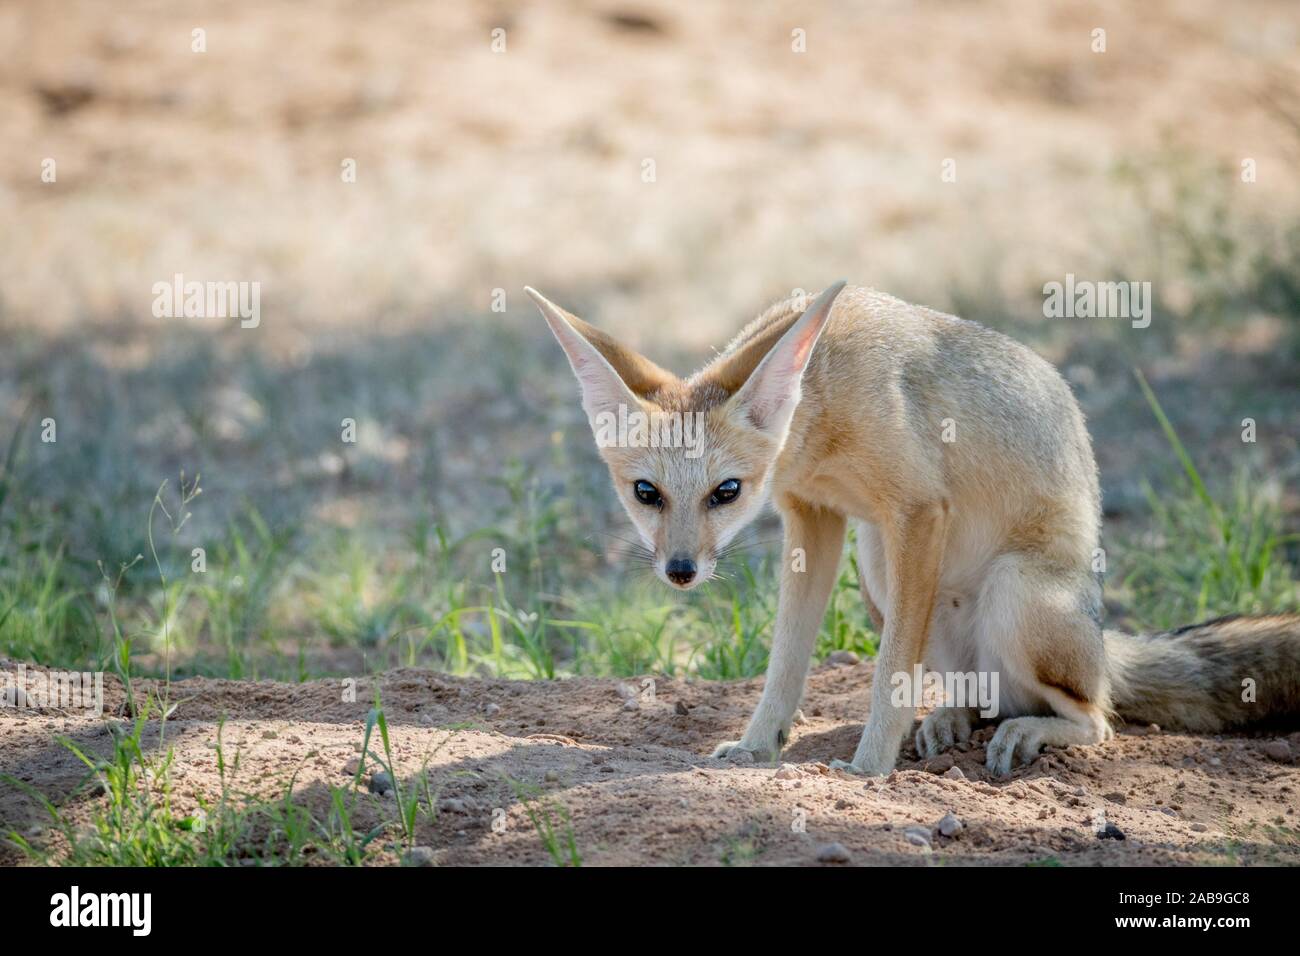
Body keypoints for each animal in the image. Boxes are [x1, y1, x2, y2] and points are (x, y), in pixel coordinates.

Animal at [525, 281, 1300, 775]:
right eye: (646, 493)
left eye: (726, 492)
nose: (681, 571)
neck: (821, 401)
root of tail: (1104, 635)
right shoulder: (816, 518)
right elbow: (785, 662)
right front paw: (757, 747)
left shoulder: (918, 513)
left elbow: (885, 676)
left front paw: (868, 767)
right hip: (878, 568)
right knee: (980, 695)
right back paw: (954, 718)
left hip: (1011, 592)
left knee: (1097, 717)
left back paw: (1030, 730)